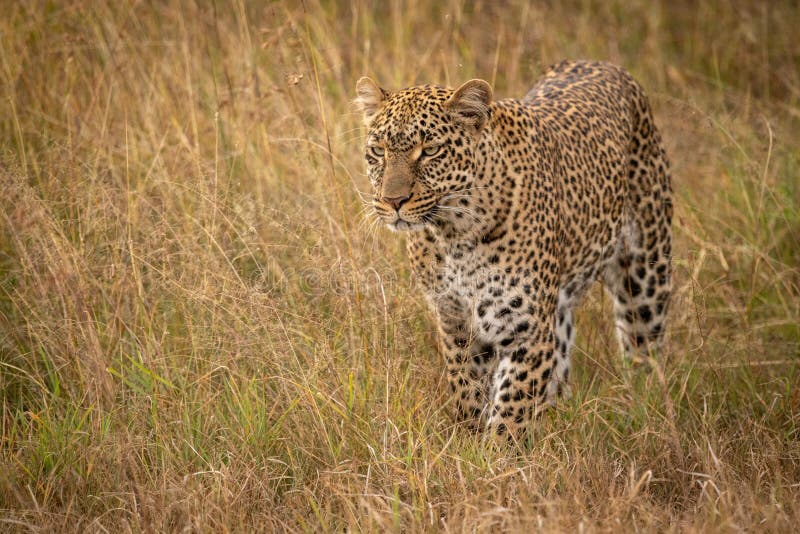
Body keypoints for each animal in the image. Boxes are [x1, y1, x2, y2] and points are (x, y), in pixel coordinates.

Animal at [354, 60, 672, 437]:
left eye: (430, 151)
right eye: (379, 151)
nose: (393, 201)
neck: (455, 234)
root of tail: (604, 65)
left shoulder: (526, 331)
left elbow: (510, 414)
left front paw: (495, 451)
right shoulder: (455, 324)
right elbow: (468, 393)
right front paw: (470, 440)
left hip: (645, 276)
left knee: (644, 353)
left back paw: (644, 409)